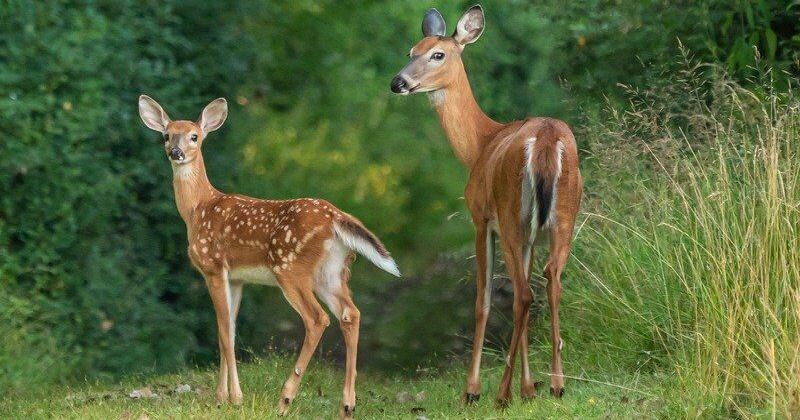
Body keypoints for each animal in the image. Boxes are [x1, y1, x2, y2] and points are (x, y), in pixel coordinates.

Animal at [138, 95, 400, 419]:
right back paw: (347, 405)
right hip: (332, 272)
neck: (198, 209)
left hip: (290, 268)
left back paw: (285, 399)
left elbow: (223, 331)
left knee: (318, 318)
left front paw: (234, 398)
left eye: (194, 136)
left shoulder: (213, 266)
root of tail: (336, 217)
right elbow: (229, 332)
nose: (176, 152)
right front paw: (222, 397)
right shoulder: (236, 278)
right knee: (351, 313)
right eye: (166, 135)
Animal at [390, 5, 582, 407]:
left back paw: (501, 393)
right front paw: (530, 388)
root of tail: (546, 140)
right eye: (410, 51)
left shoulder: (480, 219)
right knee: (551, 282)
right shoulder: (529, 236)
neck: (479, 144)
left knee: (522, 295)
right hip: (563, 218)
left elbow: (482, 302)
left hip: (509, 215)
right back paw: (555, 384)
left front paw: (473, 389)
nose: (397, 82)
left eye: (437, 54)